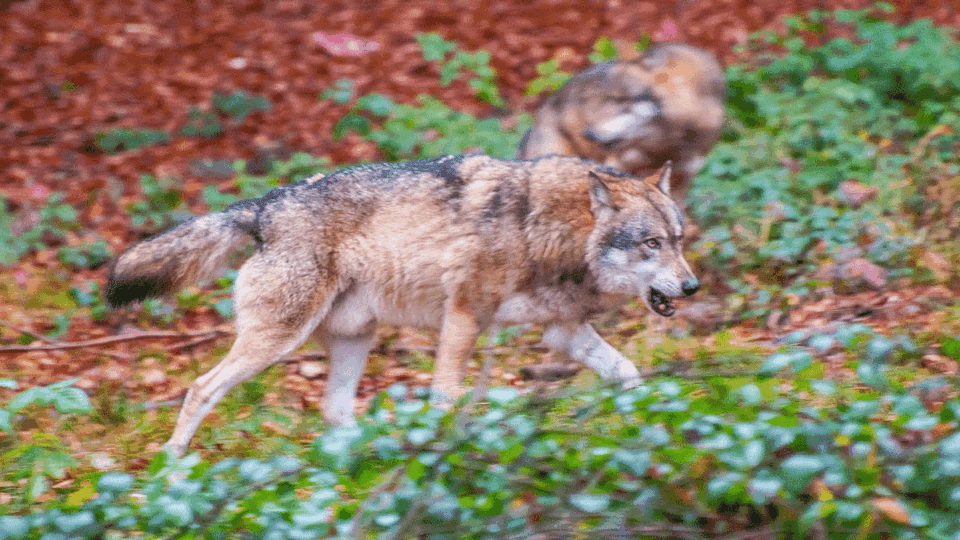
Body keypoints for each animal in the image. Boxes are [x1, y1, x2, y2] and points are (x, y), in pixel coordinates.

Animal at [105, 154, 699, 456]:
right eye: (651, 244)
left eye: (678, 239)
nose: (692, 287)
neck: (546, 229)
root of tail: (264, 205)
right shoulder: (465, 316)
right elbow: (447, 397)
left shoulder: (562, 331)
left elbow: (627, 373)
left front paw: (657, 427)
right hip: (278, 341)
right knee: (200, 389)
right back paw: (172, 473)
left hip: (354, 340)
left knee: (334, 409)